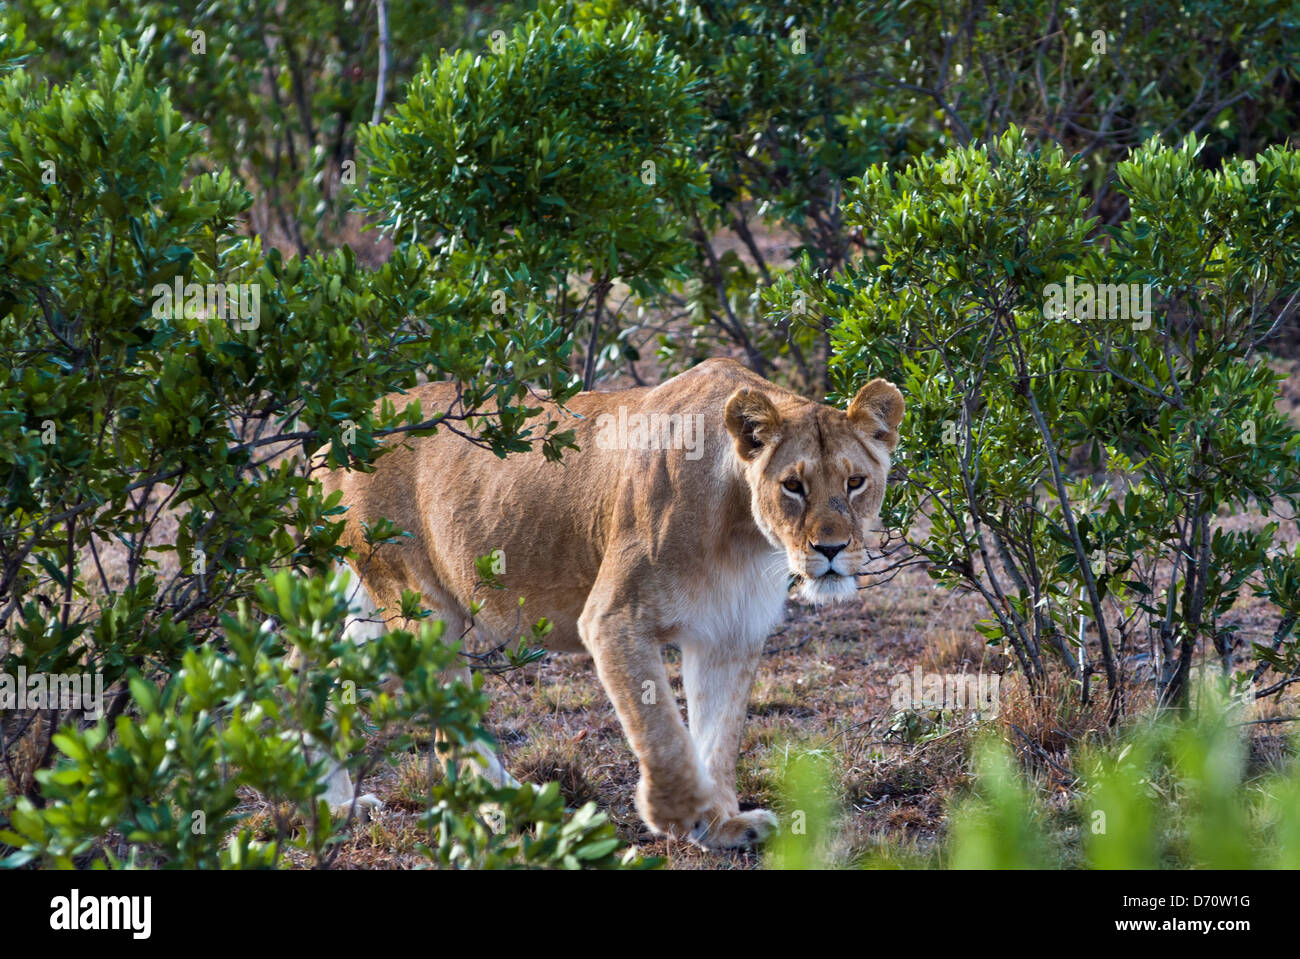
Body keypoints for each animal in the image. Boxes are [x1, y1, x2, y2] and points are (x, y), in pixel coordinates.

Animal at [315, 357, 904, 849]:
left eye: (855, 482)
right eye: (792, 486)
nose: (831, 549)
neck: (744, 533)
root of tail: (342, 432)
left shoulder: (730, 633)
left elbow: (718, 733)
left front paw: (720, 824)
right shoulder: (615, 619)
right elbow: (661, 729)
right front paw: (680, 814)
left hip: (377, 614)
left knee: (317, 672)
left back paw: (335, 803)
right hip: (424, 609)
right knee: (447, 723)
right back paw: (513, 804)